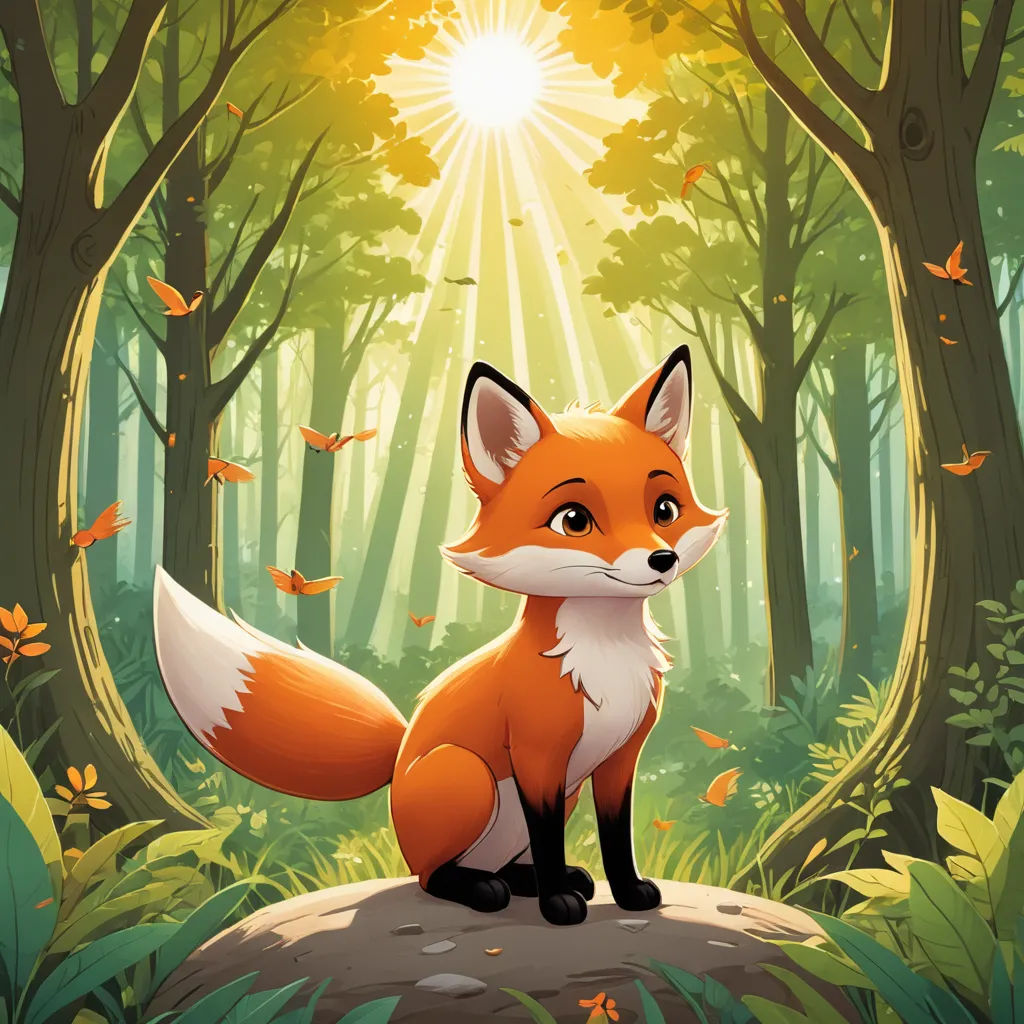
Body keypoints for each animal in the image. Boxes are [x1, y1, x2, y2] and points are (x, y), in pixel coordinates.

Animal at [153, 344, 726, 926]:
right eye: (574, 520)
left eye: (665, 510)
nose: (662, 560)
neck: (604, 659)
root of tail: (399, 758)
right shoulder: (537, 757)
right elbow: (548, 840)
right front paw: (557, 906)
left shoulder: (619, 758)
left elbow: (615, 838)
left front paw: (627, 893)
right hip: (469, 776)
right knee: (433, 876)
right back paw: (488, 889)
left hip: (543, 798)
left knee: (501, 865)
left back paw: (541, 878)